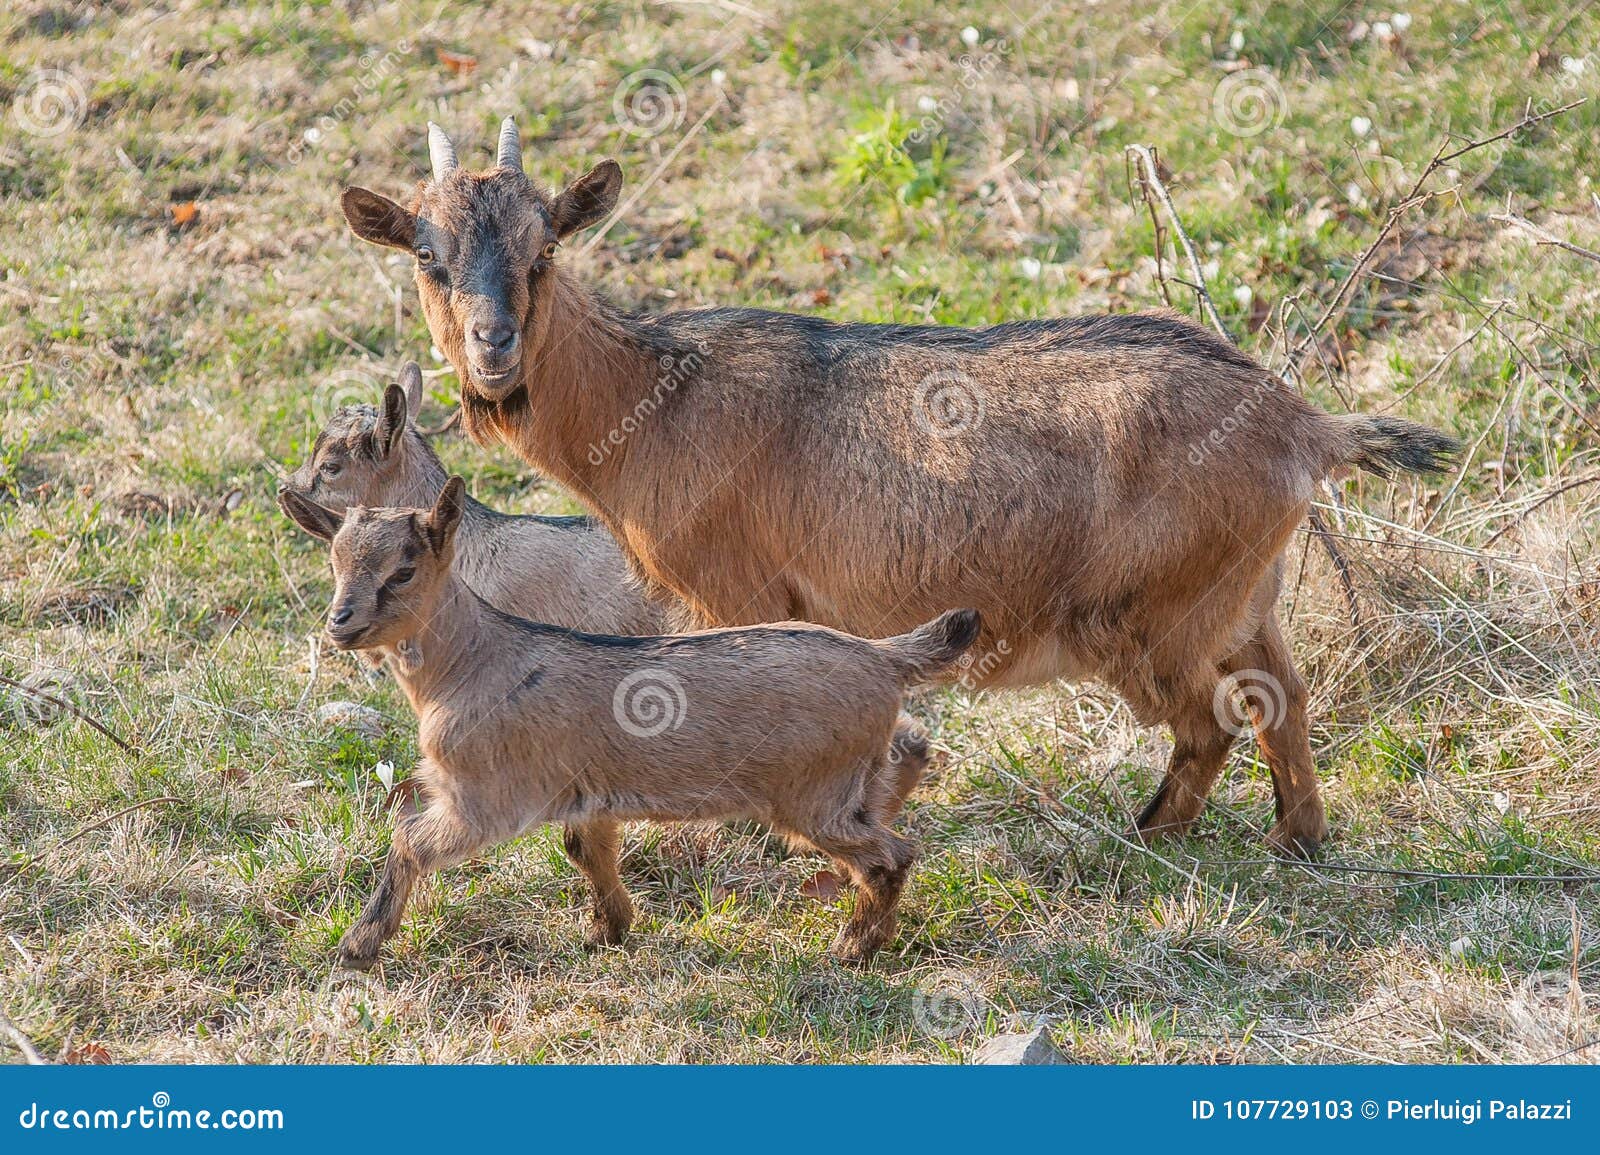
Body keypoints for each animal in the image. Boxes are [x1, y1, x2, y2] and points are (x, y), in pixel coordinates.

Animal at [280, 479, 980, 968]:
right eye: (335, 564)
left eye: (402, 571)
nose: (340, 624)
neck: (472, 662)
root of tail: (882, 656)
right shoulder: (586, 794)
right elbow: (585, 850)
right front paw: (610, 930)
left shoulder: (484, 799)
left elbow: (408, 842)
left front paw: (359, 946)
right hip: (843, 787)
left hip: (814, 797)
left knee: (891, 856)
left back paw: (855, 947)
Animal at [340, 119, 1460, 859]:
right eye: (428, 255)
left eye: (545, 249)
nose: (493, 350)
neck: (652, 400)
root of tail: (1303, 424)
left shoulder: (741, 594)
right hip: (1244, 594)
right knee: (1283, 696)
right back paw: (1296, 838)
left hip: (1148, 615)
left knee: (1210, 720)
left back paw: (1143, 838)